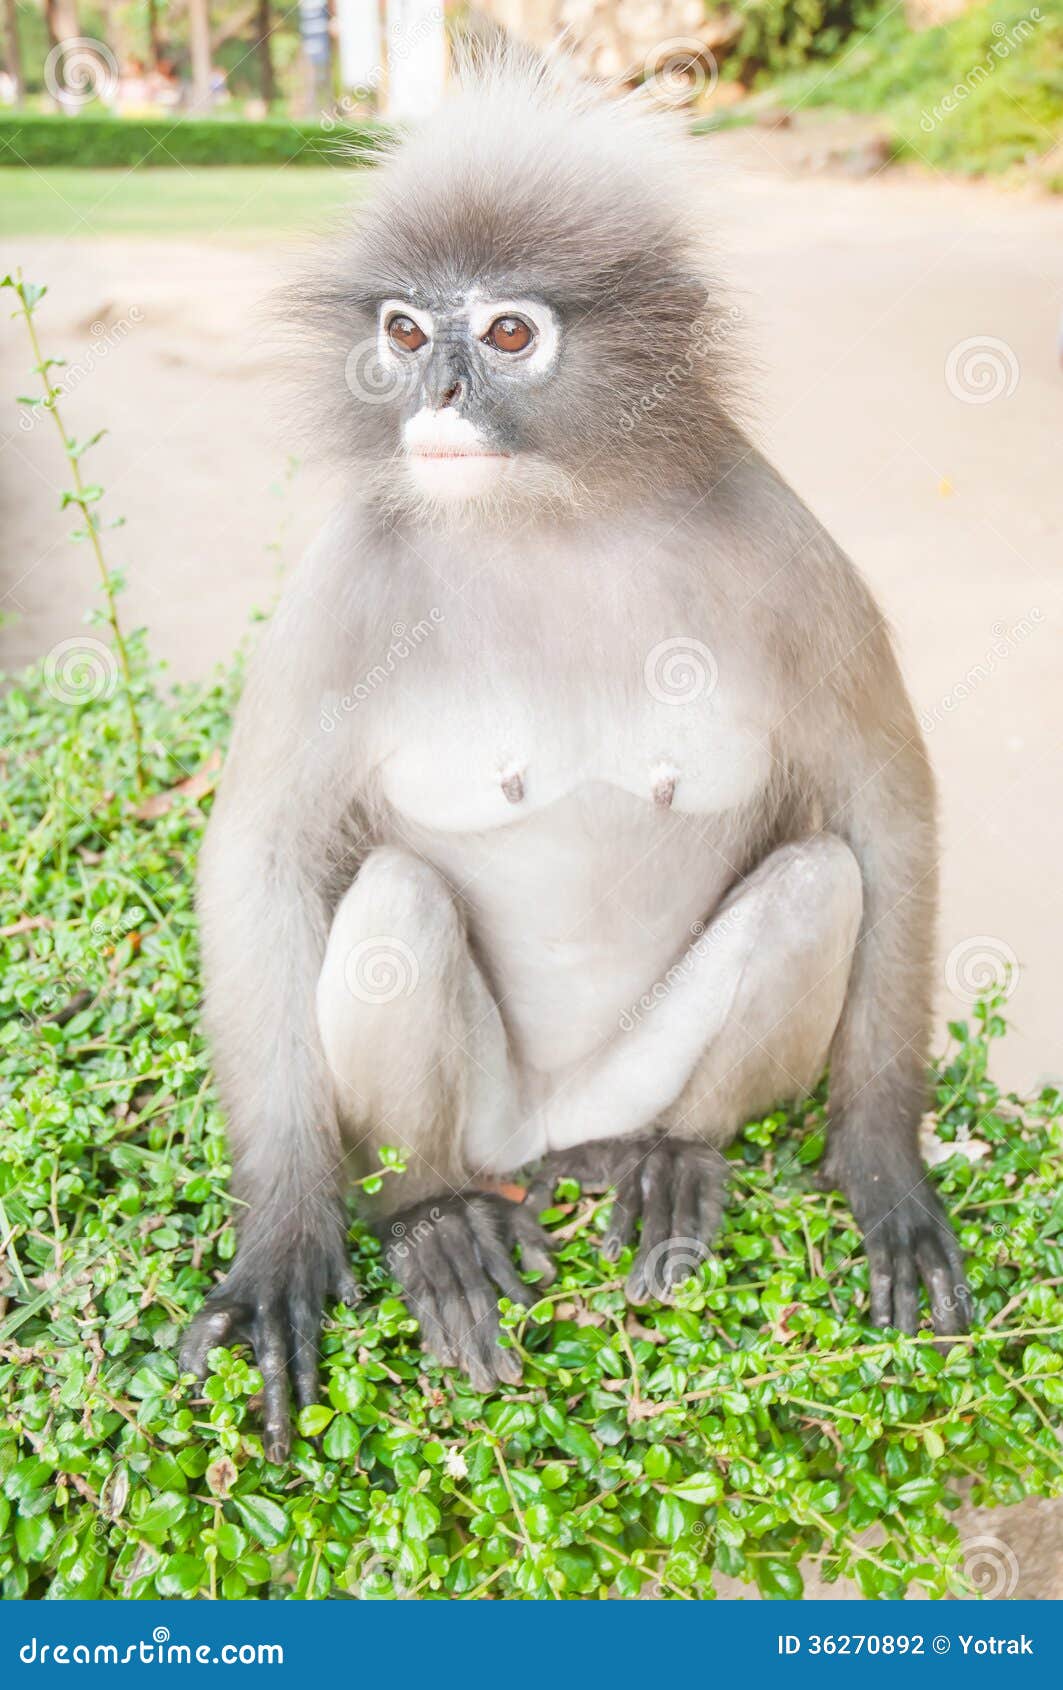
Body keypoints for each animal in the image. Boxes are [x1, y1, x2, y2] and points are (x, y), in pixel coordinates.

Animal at [179, 53, 972, 1462]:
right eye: (404, 334)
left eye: (505, 336)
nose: (436, 395)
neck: (549, 516)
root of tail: (551, 1138)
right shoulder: (343, 579)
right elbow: (261, 861)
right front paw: (281, 1241)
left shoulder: (789, 544)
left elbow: (886, 810)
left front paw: (882, 1166)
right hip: (485, 1114)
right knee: (393, 900)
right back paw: (435, 1220)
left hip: (627, 1083)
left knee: (818, 878)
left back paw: (671, 1160)